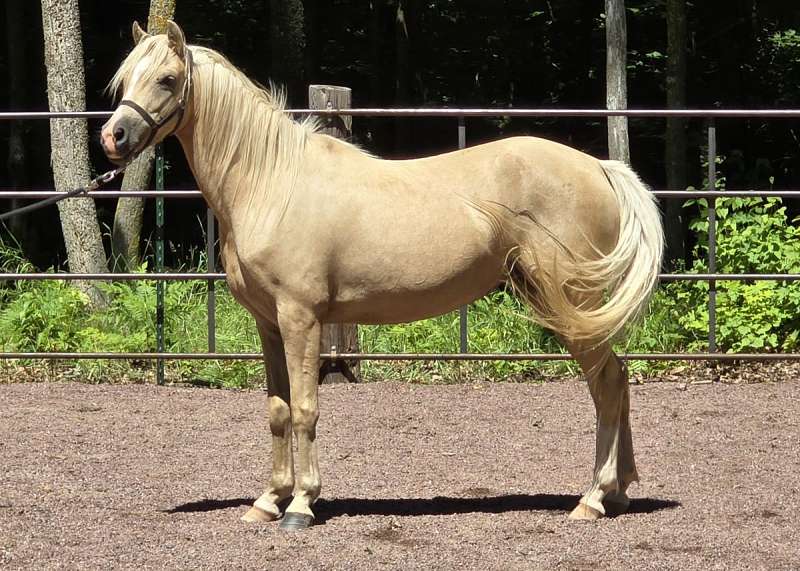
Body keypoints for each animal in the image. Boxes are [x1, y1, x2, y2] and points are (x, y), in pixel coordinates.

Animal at [101, 21, 664, 531]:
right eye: (127, 78)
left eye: (168, 78)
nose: (113, 136)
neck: (272, 181)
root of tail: (599, 168)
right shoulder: (269, 324)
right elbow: (278, 411)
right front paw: (267, 501)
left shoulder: (301, 319)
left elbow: (305, 409)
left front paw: (300, 506)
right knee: (616, 379)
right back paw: (618, 493)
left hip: (574, 303)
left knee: (607, 383)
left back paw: (594, 498)